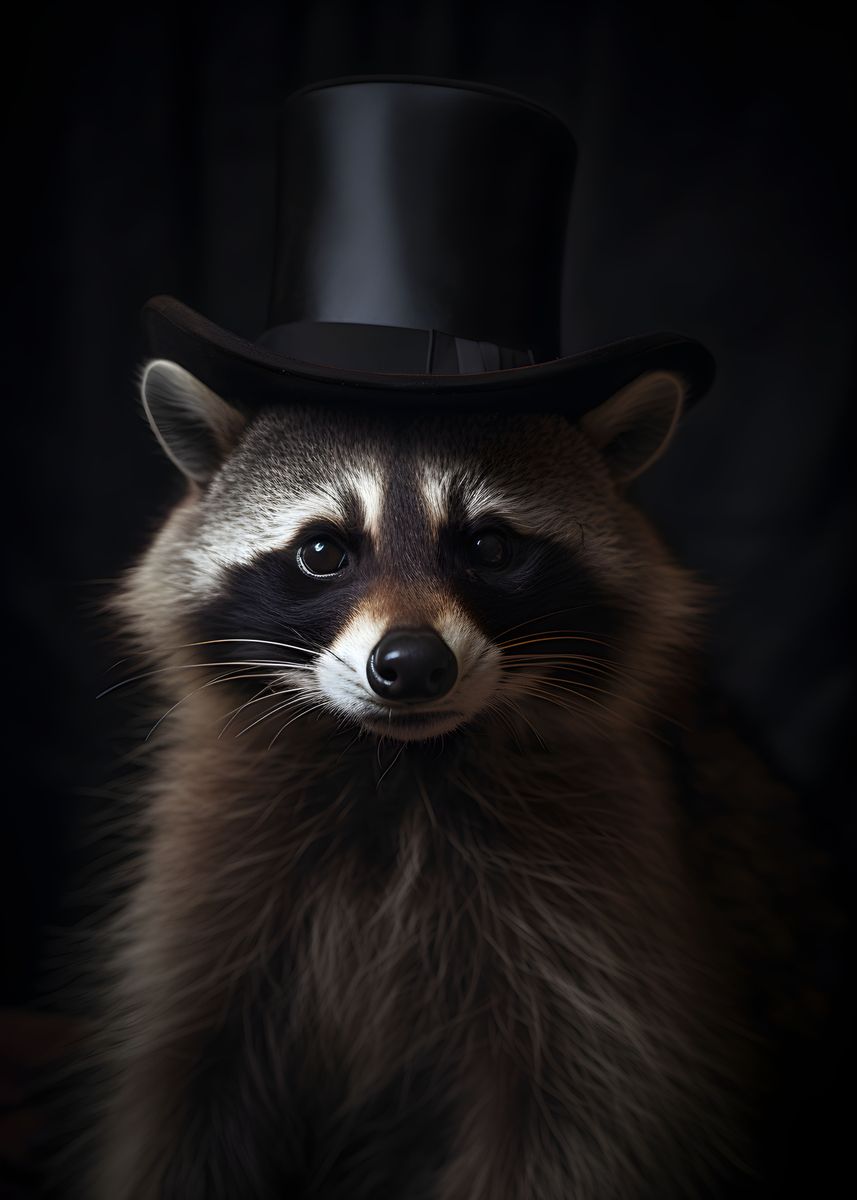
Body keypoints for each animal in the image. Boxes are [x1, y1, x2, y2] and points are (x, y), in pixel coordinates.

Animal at [84, 360, 762, 1200]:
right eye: (322, 550)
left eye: (491, 546)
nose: (411, 666)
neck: (397, 763)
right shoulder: (211, 891)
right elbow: (180, 1085)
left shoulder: (602, 916)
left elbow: (575, 1116)